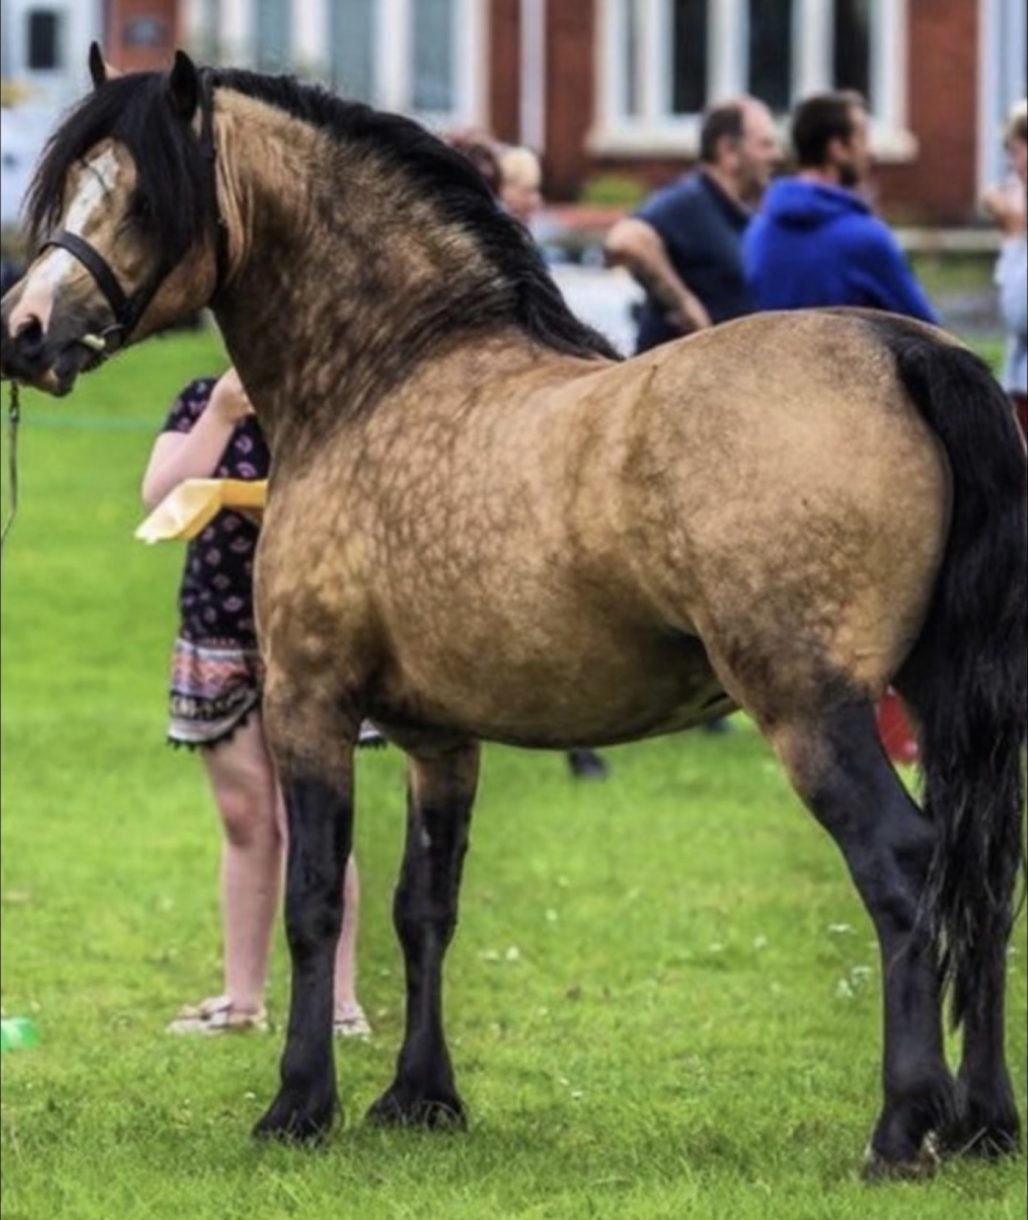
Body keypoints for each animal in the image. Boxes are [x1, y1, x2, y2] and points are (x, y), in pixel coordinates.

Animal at [1, 48, 1025, 1178]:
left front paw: (299, 1104)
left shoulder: (308, 706)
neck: (387, 380)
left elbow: (313, 901)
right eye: (74, 180)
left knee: (905, 869)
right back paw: (984, 1121)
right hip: (940, 703)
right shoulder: (439, 738)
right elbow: (422, 906)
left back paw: (903, 1125)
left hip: (811, 712)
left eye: (143, 195)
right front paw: (419, 1096)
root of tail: (900, 353)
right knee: (980, 875)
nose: (25, 332)